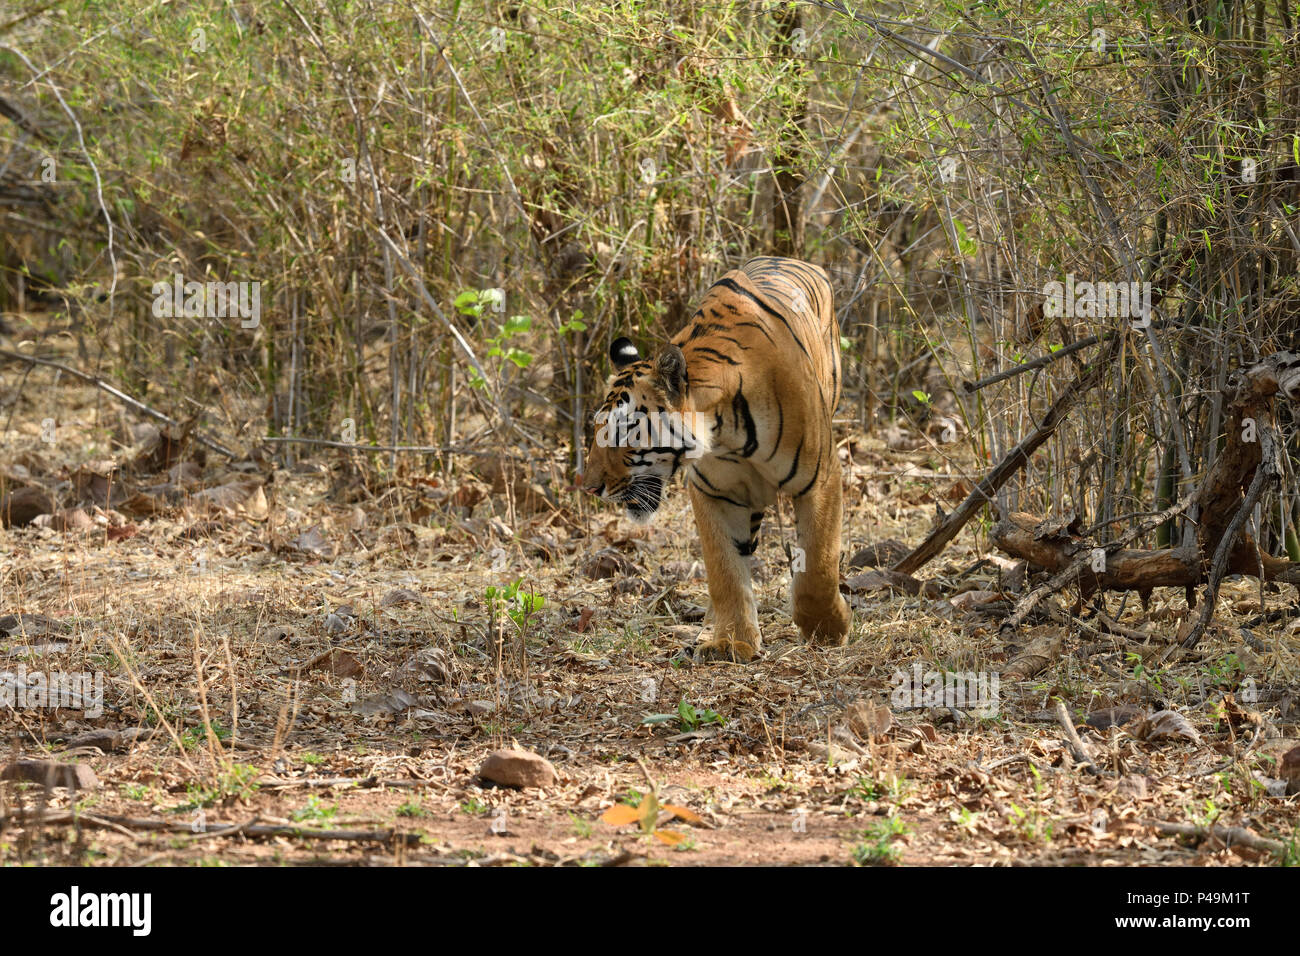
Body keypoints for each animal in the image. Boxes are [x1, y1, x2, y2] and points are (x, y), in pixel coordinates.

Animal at [580, 256, 851, 662]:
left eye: (624, 430)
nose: (589, 488)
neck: (725, 432)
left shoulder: (820, 478)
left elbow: (818, 562)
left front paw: (828, 629)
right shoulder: (716, 492)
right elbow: (724, 569)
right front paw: (730, 641)